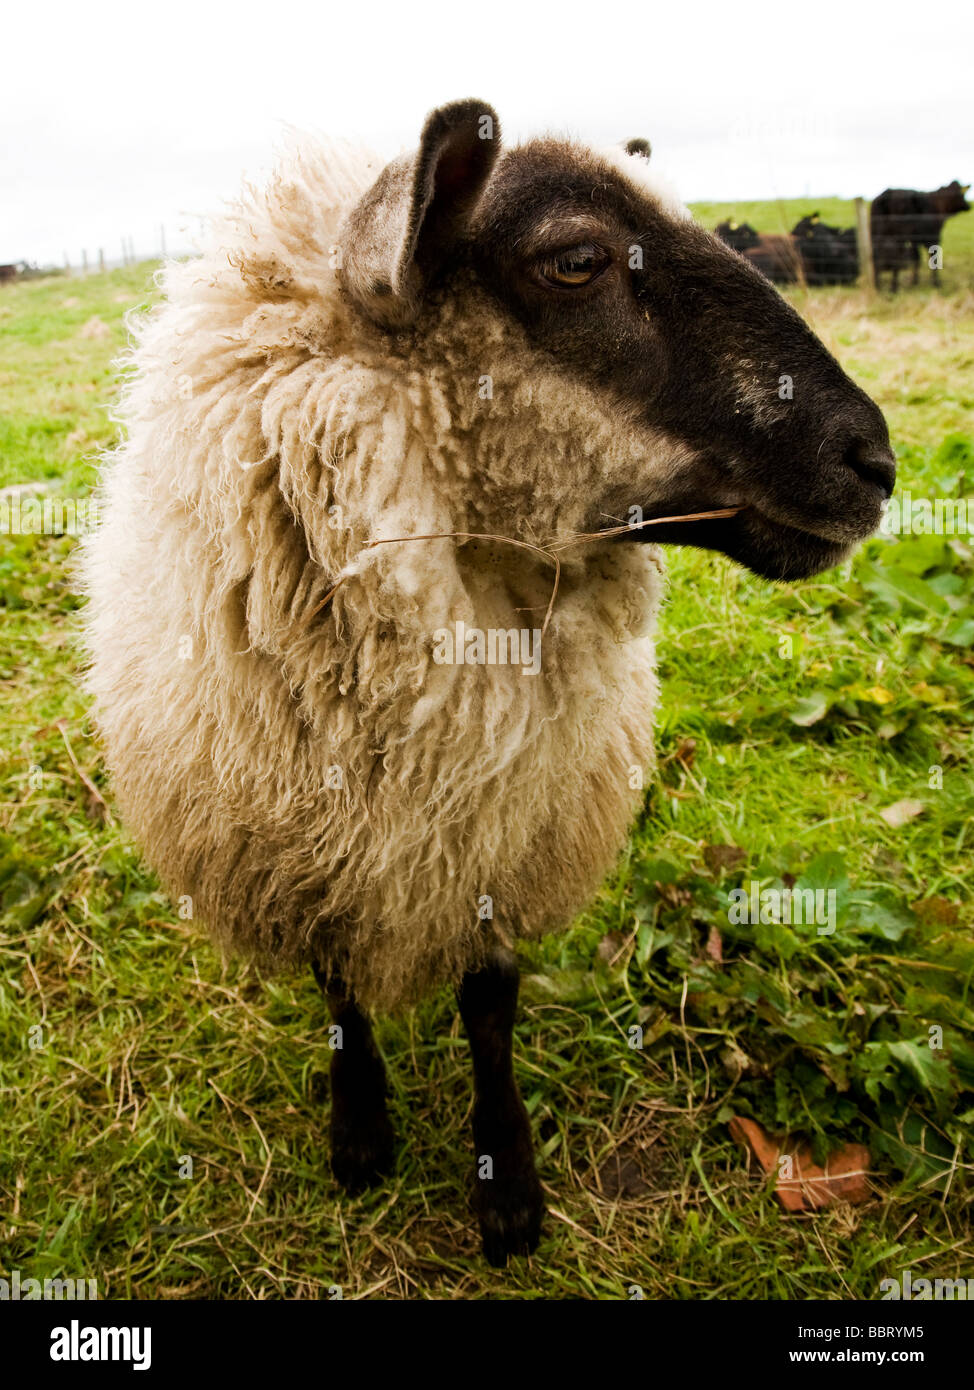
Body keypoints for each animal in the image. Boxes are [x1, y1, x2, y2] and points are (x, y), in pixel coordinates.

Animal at [79, 100, 894, 1273]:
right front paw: (359, 1129)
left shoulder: (507, 824)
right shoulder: (294, 832)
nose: (875, 462)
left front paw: (505, 1181)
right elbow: (338, 985)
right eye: (576, 261)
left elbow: (488, 1002)